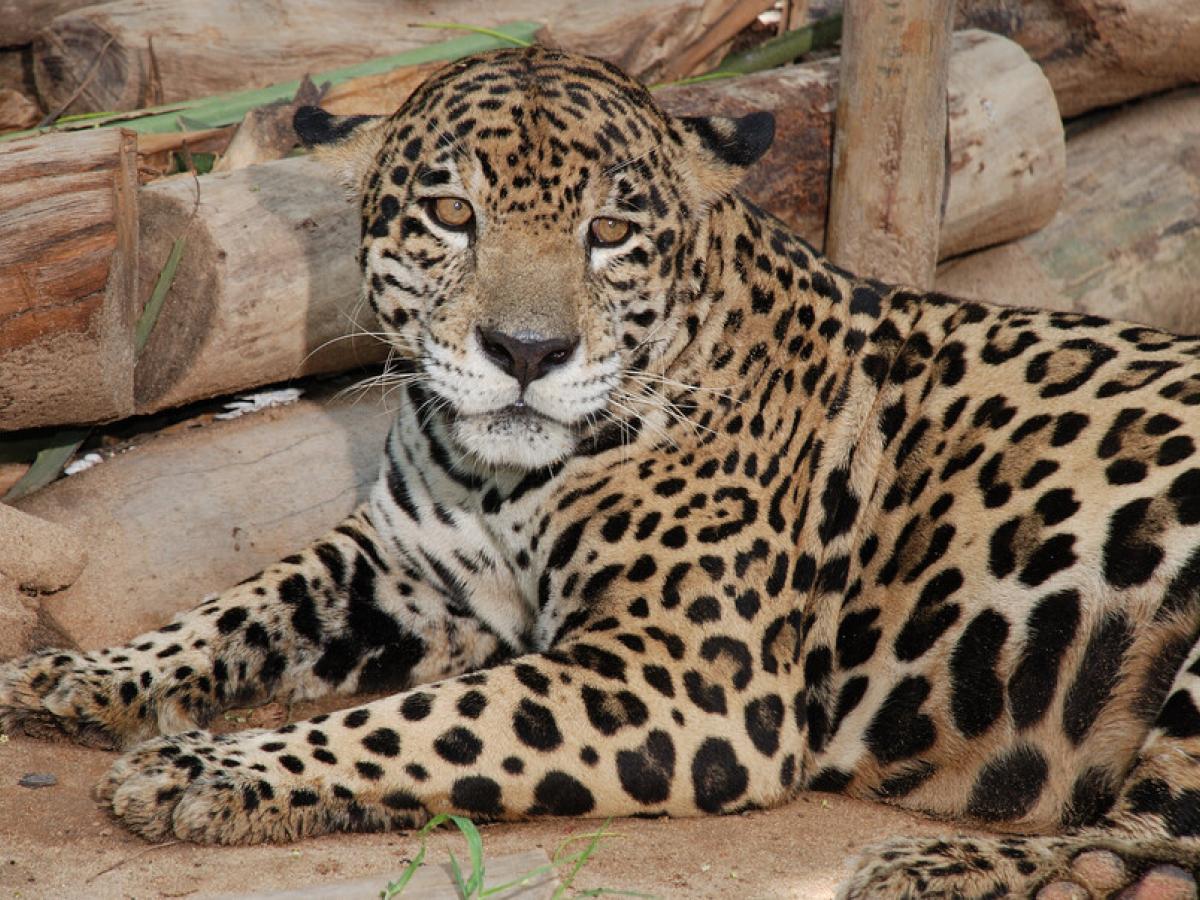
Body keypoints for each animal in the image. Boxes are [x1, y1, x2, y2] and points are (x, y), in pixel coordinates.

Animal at [5, 46, 1200, 898]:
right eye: (453, 214)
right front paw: (75, 676)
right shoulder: (401, 565)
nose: (528, 353)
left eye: (612, 231)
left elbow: (422, 723)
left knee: (1160, 837)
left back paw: (964, 871)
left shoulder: (689, 677)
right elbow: (234, 606)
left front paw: (203, 769)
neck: (498, 480)